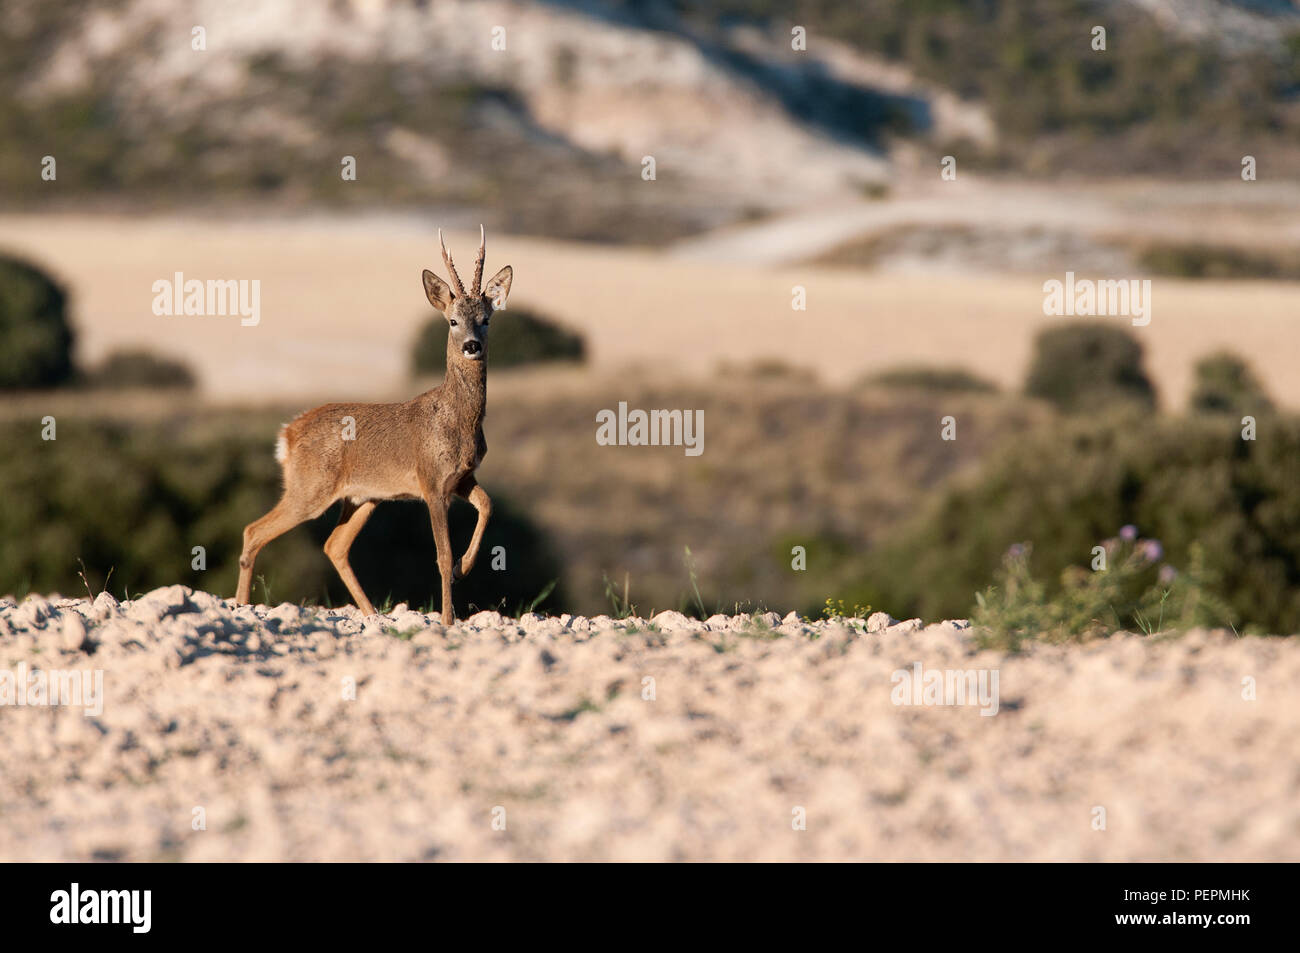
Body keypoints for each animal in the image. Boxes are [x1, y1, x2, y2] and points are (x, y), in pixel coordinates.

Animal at [234, 227, 512, 623]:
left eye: (486, 319)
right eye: (453, 321)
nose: (472, 346)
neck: (458, 420)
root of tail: (288, 433)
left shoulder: (461, 477)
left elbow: (487, 505)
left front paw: (465, 567)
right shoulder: (430, 482)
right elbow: (441, 555)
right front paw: (447, 618)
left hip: (364, 497)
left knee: (334, 545)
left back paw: (372, 615)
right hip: (310, 487)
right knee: (253, 530)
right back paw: (241, 606)